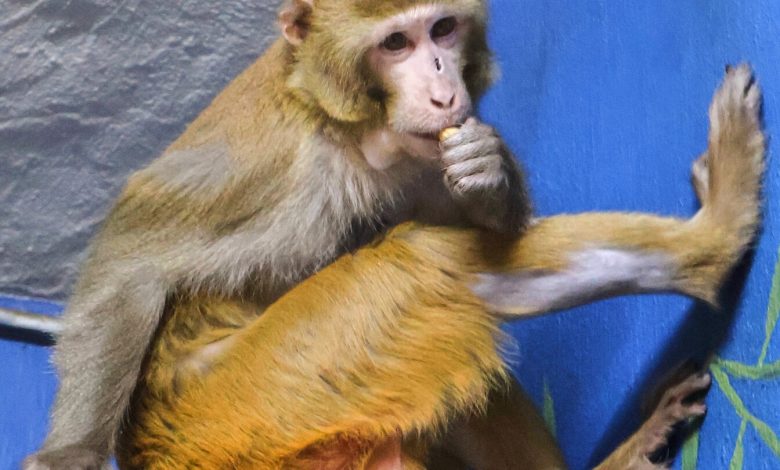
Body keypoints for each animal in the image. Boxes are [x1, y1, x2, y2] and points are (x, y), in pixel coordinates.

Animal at [26, 1, 533, 468]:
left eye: (443, 29)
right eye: (395, 43)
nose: (444, 92)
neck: (347, 129)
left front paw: (488, 170)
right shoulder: (274, 171)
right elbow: (129, 263)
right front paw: (70, 452)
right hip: (227, 405)